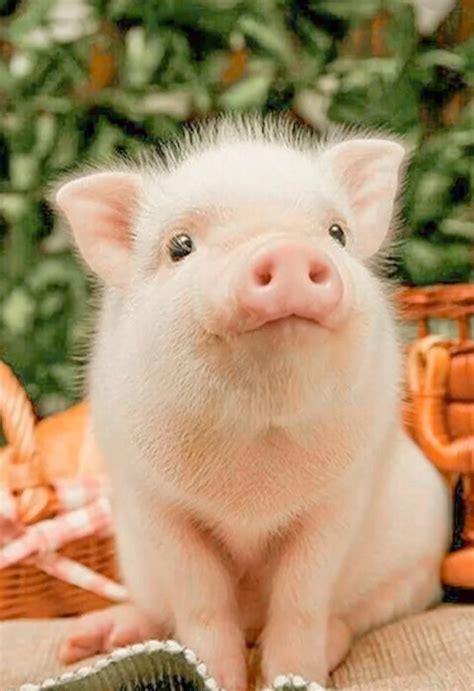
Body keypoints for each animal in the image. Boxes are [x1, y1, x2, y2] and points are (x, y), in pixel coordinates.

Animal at [54, 116, 451, 691]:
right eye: (179, 246)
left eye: (337, 233)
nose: (287, 250)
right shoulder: (155, 502)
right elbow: (201, 603)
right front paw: (218, 677)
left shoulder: (340, 498)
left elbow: (302, 599)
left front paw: (292, 675)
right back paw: (85, 640)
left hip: (418, 563)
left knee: (362, 612)